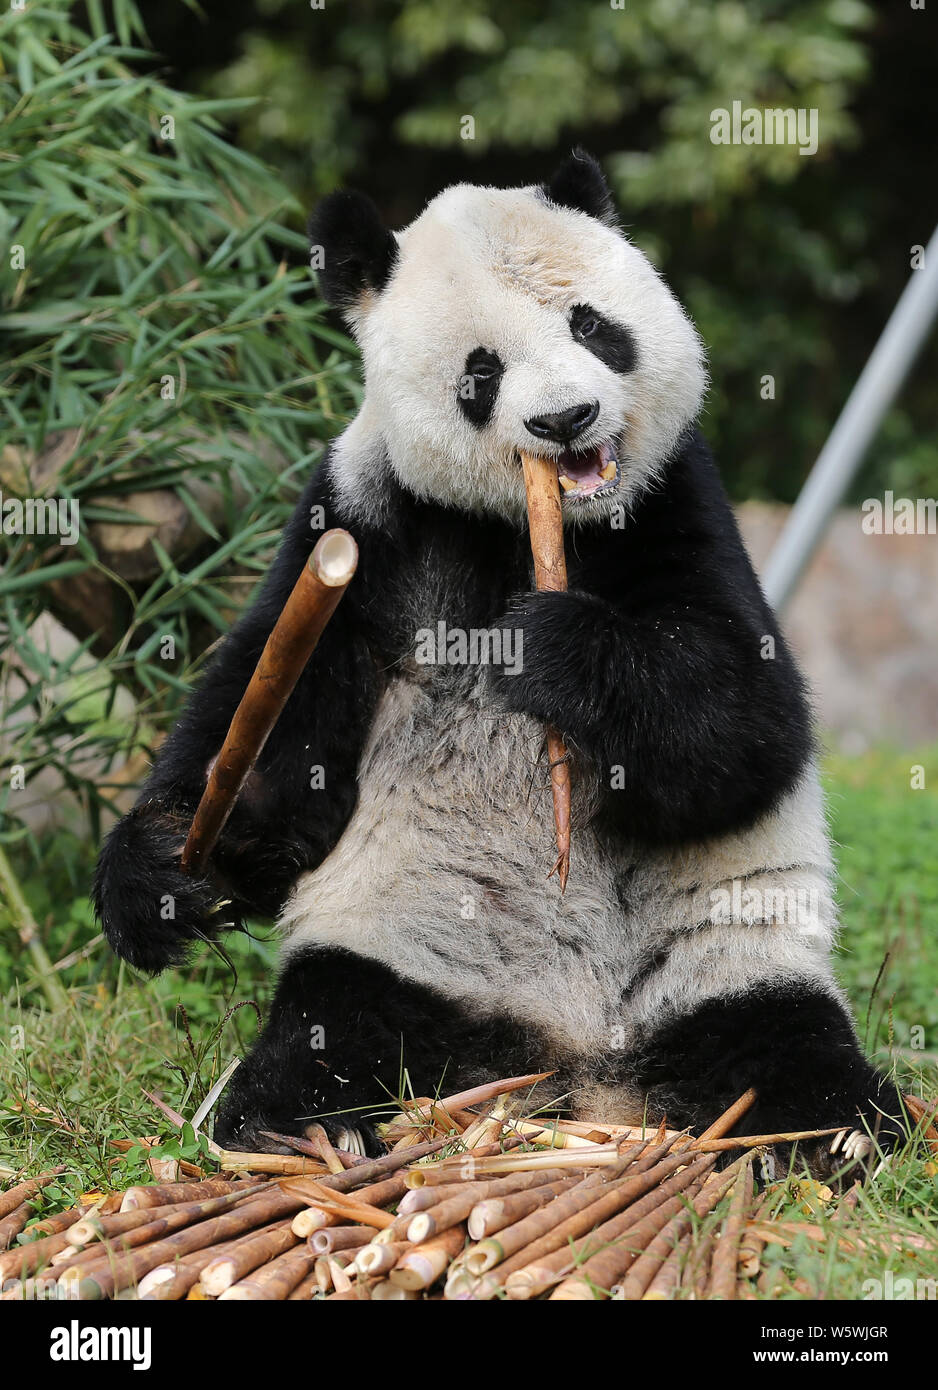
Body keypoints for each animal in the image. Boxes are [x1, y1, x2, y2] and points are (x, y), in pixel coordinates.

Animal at [94, 149, 903, 1168]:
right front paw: (166, 873)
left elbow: (746, 726)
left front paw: (552, 647)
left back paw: (833, 1137)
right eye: (482, 370)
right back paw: (303, 1127)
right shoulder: (362, 527)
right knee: (332, 1026)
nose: (568, 419)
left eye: (592, 326)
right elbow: (281, 754)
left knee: (787, 1050)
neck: (521, 526)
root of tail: (581, 1073)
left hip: (728, 964)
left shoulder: (677, 500)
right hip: (408, 950)